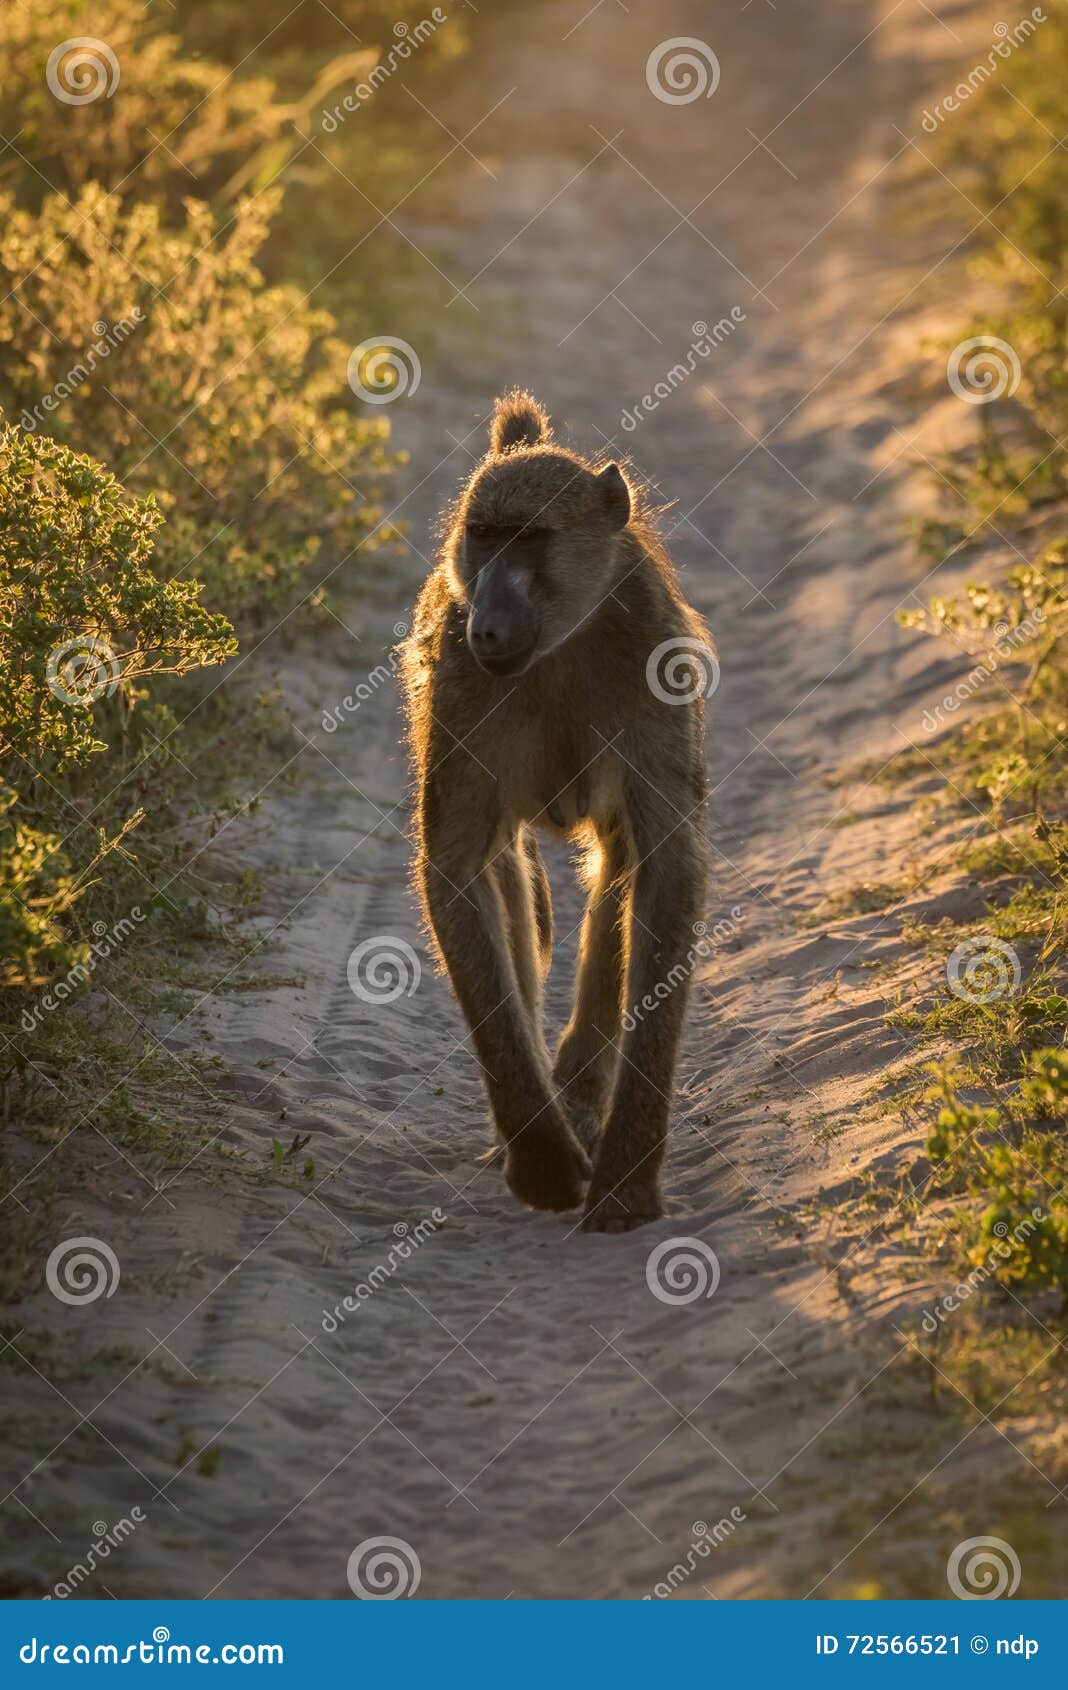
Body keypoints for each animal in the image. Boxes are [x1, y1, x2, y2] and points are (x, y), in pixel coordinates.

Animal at [401, 391, 712, 1232]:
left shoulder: (654, 663)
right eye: (483, 537)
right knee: (504, 873)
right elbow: (457, 871)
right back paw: (545, 1107)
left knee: (619, 867)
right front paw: (540, 1158)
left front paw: (626, 1176)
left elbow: (665, 870)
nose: (487, 623)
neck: (565, 643)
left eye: (531, 540)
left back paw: (580, 1088)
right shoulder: (462, 687)